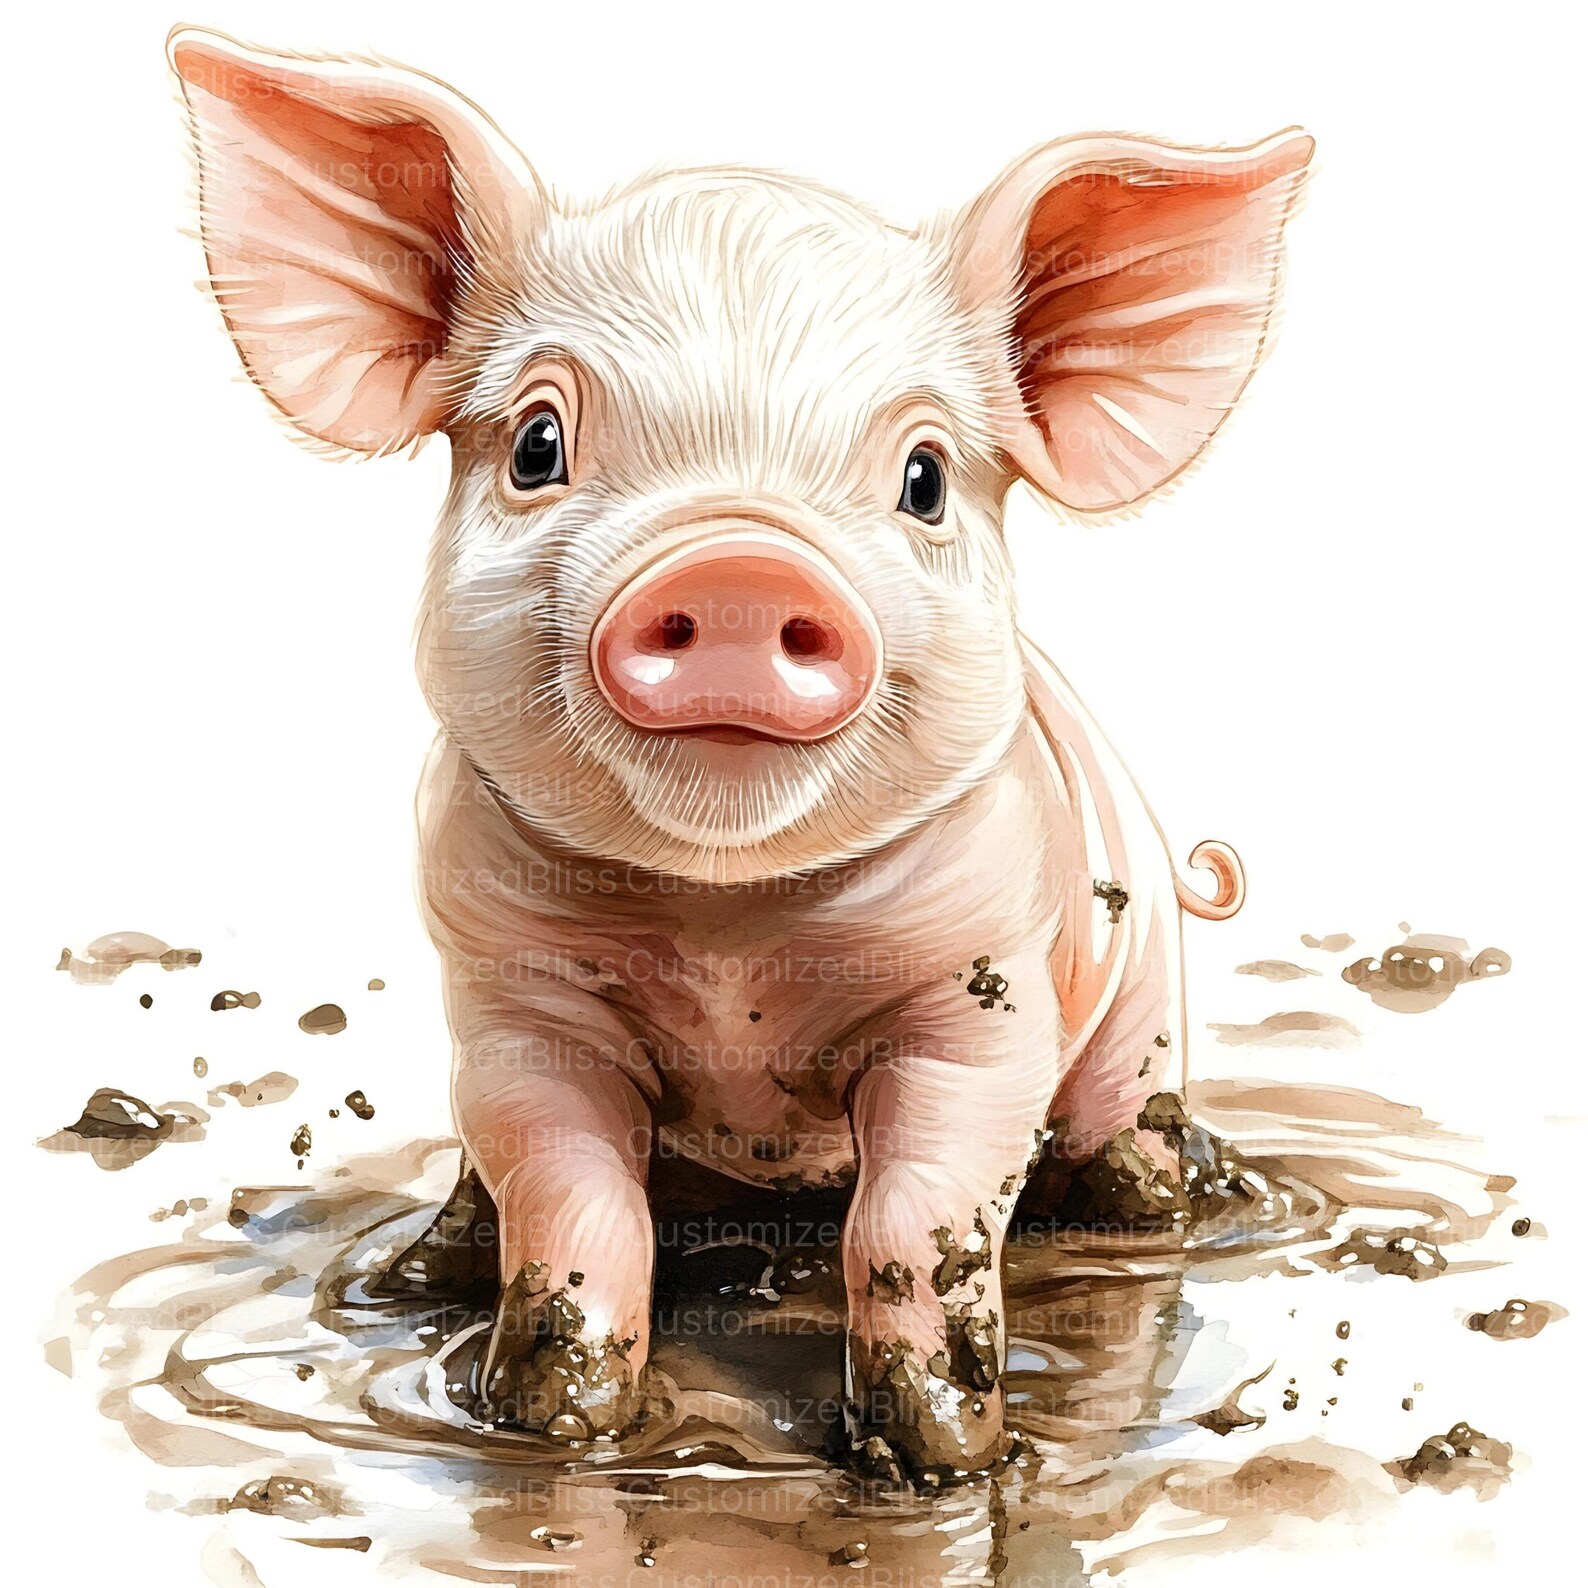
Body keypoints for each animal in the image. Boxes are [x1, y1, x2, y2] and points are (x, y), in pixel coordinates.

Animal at [170, 27, 1310, 1484]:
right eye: (537, 442)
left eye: (926, 477)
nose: (736, 569)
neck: (730, 947)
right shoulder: (513, 1007)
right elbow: (571, 1213)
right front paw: (549, 1434)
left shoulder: (977, 1005)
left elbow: (916, 1222)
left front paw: (941, 1468)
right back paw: (399, 1283)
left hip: (1144, 1006)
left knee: (1128, 1138)